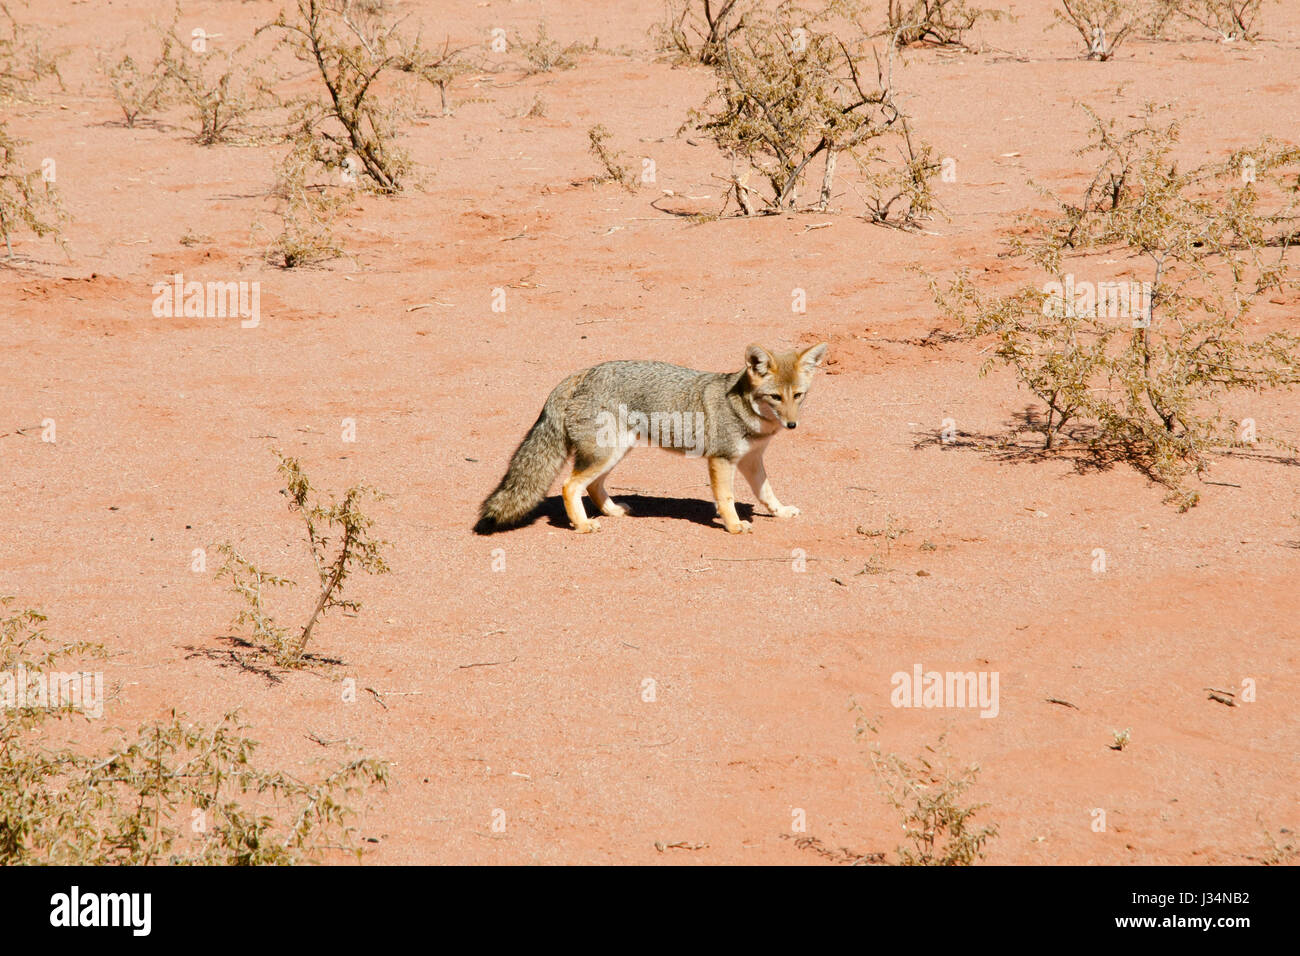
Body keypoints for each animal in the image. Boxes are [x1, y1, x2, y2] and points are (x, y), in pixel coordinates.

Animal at [474, 342, 829, 534]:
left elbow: (767, 493)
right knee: (569, 486)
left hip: (617, 452)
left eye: (798, 395)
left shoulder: (752, 460)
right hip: (606, 453)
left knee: (592, 486)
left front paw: (780, 512)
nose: (792, 424)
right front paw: (734, 525)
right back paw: (583, 525)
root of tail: (580, 373)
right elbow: (727, 499)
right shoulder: (722, 460)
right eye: (775, 397)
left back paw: (611, 512)